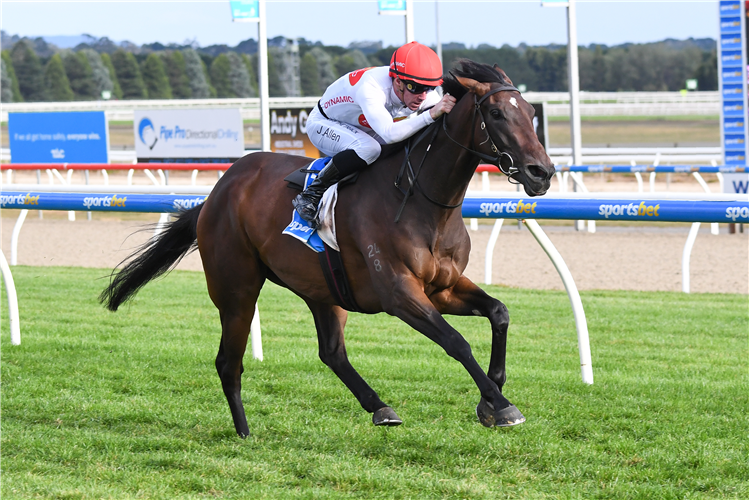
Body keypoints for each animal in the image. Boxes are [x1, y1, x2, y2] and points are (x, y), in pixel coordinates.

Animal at [100, 60, 555, 437]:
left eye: (532, 114)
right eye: (496, 114)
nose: (542, 172)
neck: (422, 202)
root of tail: (216, 193)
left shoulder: (442, 287)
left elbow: (499, 312)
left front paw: (492, 395)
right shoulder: (399, 293)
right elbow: (457, 342)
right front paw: (502, 405)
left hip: (322, 288)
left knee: (332, 353)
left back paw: (379, 407)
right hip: (237, 289)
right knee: (229, 361)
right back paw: (244, 432)